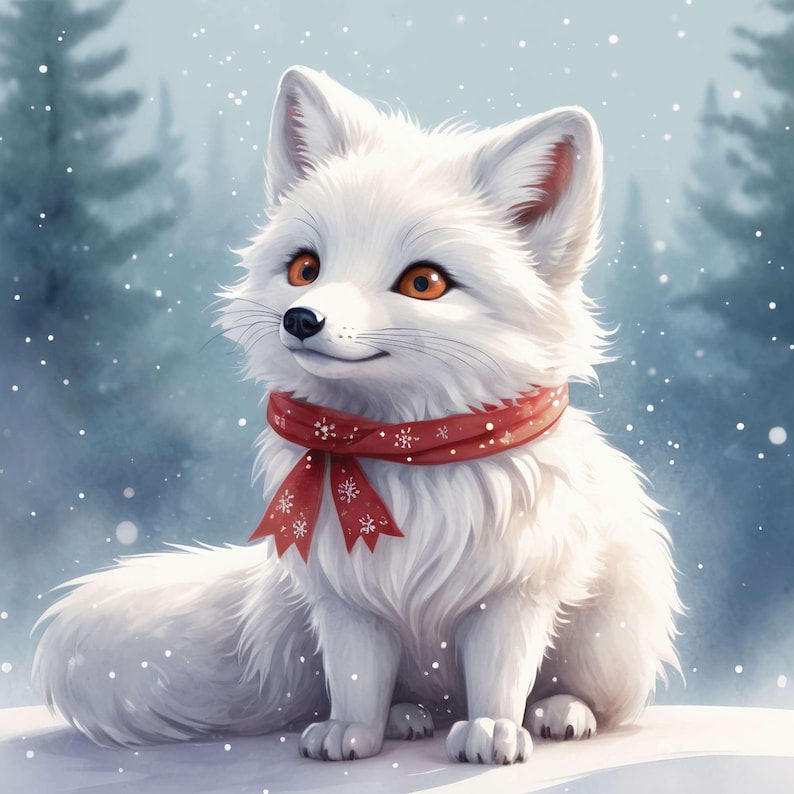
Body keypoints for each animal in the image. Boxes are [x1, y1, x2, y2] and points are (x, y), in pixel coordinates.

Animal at [33, 66, 681, 765]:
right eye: (305, 268)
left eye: (424, 282)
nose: (301, 318)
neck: (397, 448)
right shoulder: (345, 600)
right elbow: (354, 676)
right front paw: (353, 733)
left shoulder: (513, 593)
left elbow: (501, 674)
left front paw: (493, 731)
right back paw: (405, 718)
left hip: (612, 630)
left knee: (595, 697)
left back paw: (559, 711)